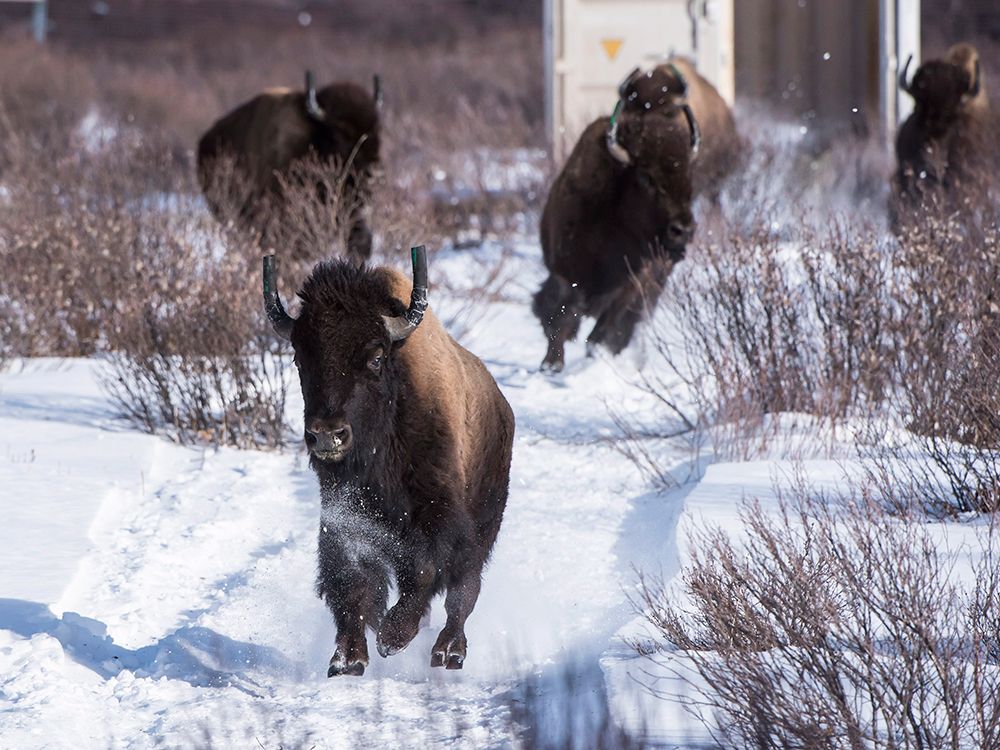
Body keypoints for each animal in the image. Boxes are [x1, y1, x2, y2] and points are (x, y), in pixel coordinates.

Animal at [263, 246, 515, 675]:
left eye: (376, 357)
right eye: (298, 357)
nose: (327, 434)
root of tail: (502, 406)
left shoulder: (438, 516)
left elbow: (427, 571)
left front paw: (392, 638)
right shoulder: (345, 519)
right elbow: (351, 582)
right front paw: (347, 659)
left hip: (484, 523)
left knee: (464, 591)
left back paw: (448, 652)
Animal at [534, 59, 737, 371]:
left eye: (687, 175)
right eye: (646, 177)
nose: (684, 230)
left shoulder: (636, 282)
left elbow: (608, 327)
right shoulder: (564, 269)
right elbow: (559, 312)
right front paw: (551, 364)